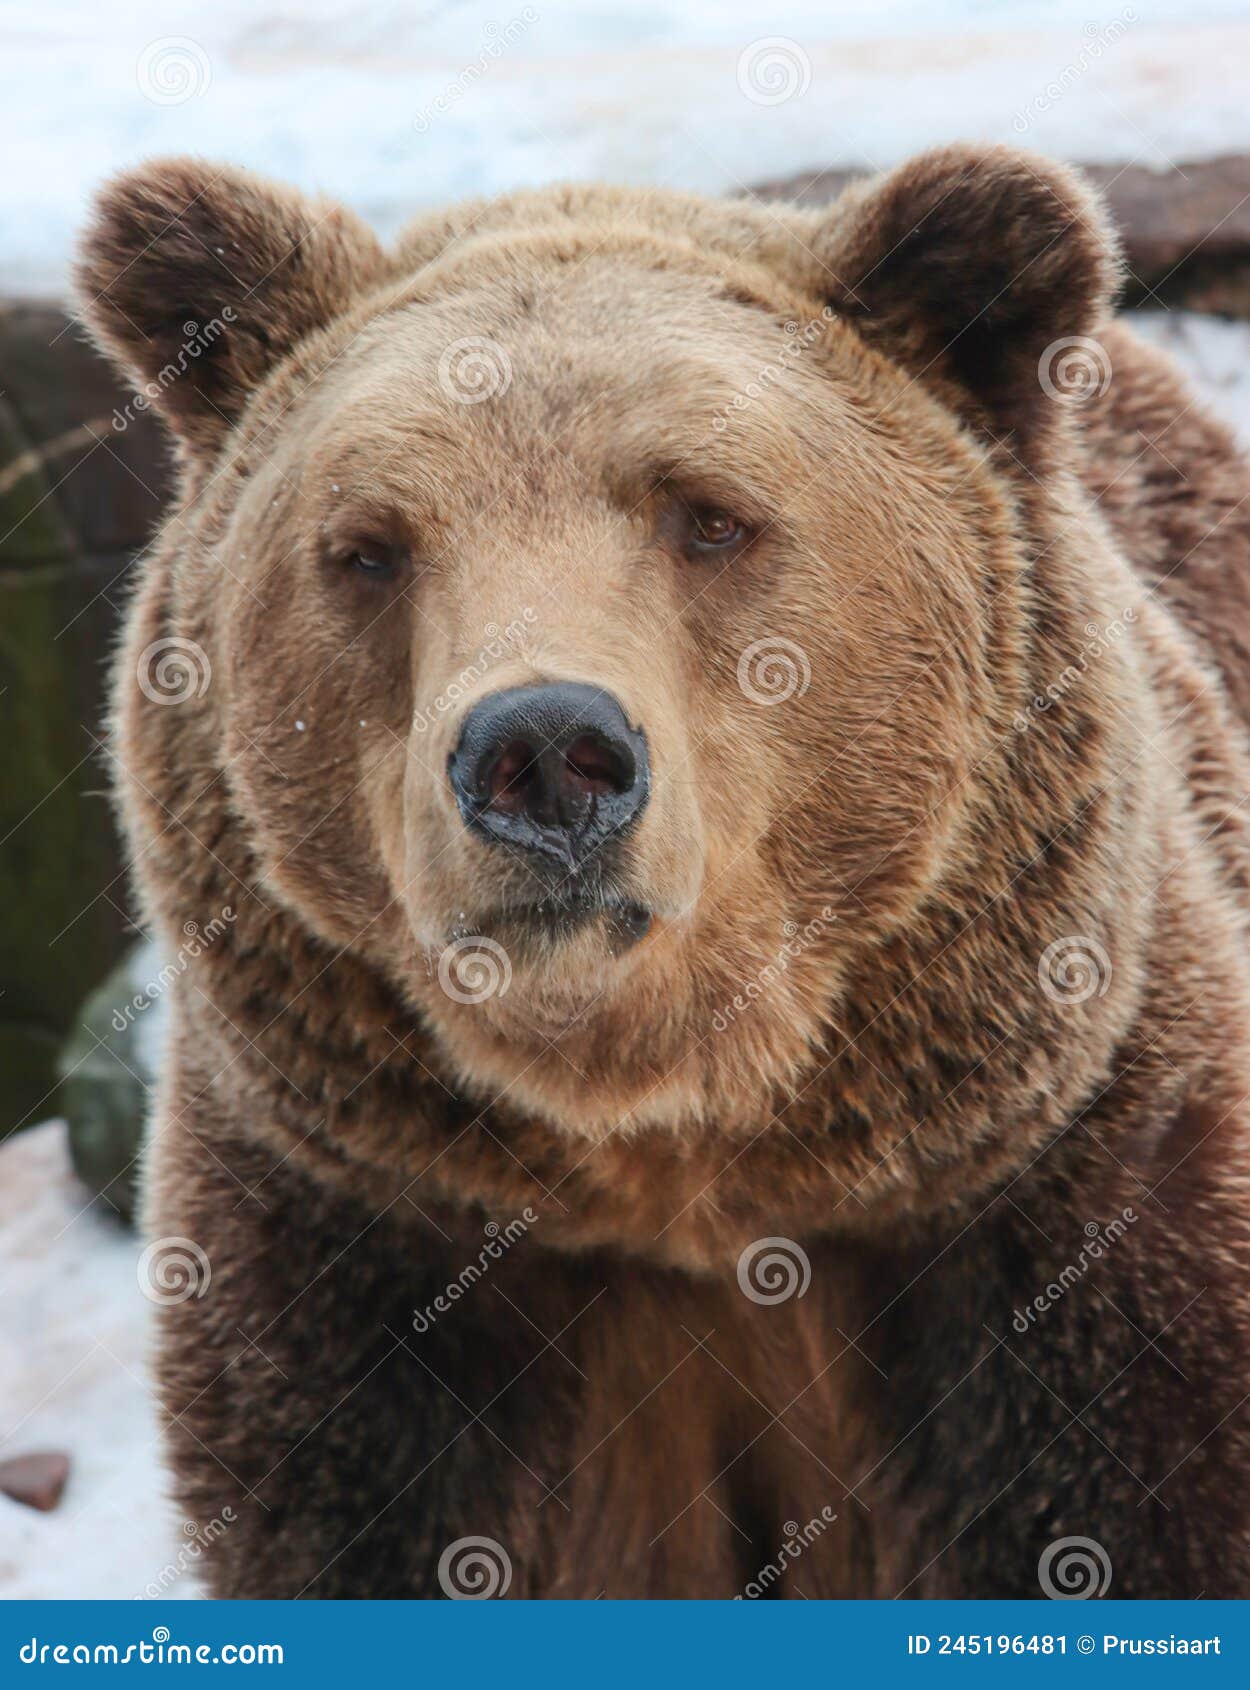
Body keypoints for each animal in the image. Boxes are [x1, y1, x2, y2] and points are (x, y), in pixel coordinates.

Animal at [74, 144, 1250, 1599]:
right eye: (367, 547)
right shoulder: (365, 1271)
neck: (686, 1158)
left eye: (709, 514)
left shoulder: (1062, 1202)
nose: (542, 753)